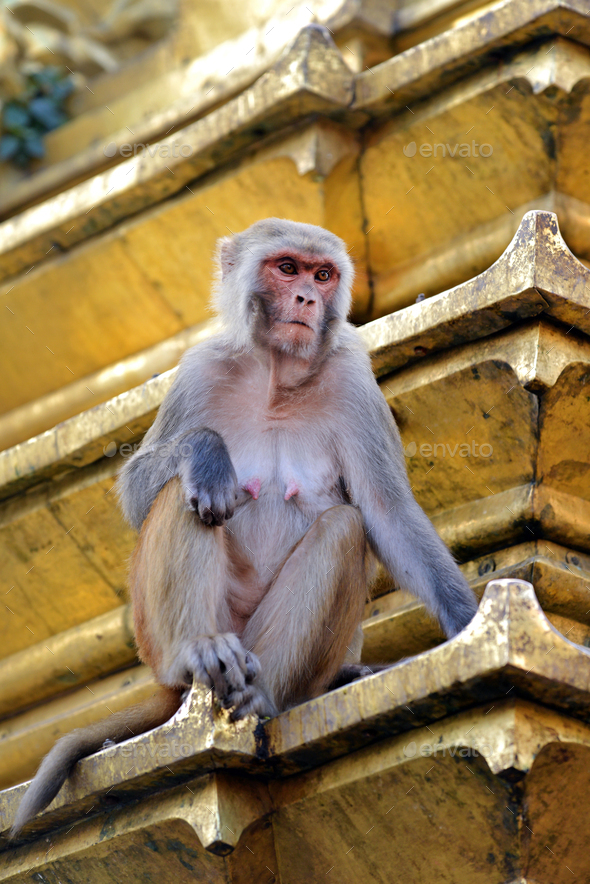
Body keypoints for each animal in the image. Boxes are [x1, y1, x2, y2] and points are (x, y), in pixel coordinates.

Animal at [11, 218, 478, 836]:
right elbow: (138, 489)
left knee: (343, 527)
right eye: (287, 268)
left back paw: (265, 697)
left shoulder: (354, 380)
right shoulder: (199, 368)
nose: (306, 298)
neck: (277, 376)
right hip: (158, 637)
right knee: (179, 496)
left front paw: (470, 626)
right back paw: (198, 652)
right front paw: (207, 454)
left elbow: (386, 513)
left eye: (322, 275)